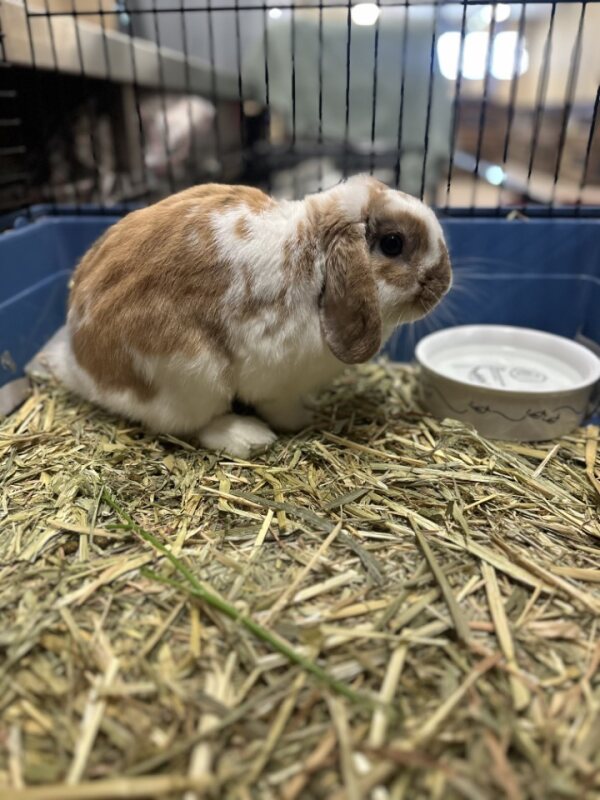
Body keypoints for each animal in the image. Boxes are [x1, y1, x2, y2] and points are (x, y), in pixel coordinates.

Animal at [53, 175, 451, 458]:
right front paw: (304, 419)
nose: (443, 281)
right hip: (193, 375)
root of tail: (81, 366)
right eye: (393, 244)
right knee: (192, 424)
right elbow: (279, 406)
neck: (315, 253)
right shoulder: (276, 378)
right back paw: (248, 437)